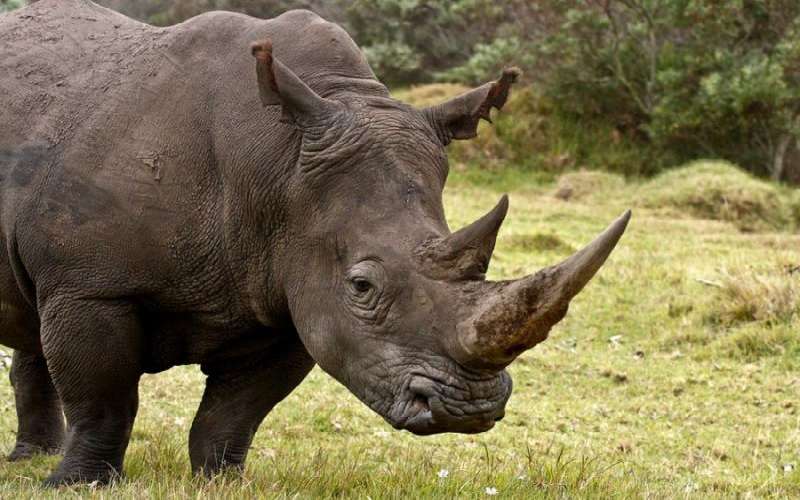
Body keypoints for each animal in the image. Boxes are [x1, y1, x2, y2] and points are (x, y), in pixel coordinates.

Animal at [0, 0, 630, 486]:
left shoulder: (286, 292)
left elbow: (233, 415)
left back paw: (31, 457)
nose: (466, 409)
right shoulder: (90, 285)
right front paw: (76, 486)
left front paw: (222, 482)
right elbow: (104, 400)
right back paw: (37, 463)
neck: (278, 169)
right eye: (362, 286)